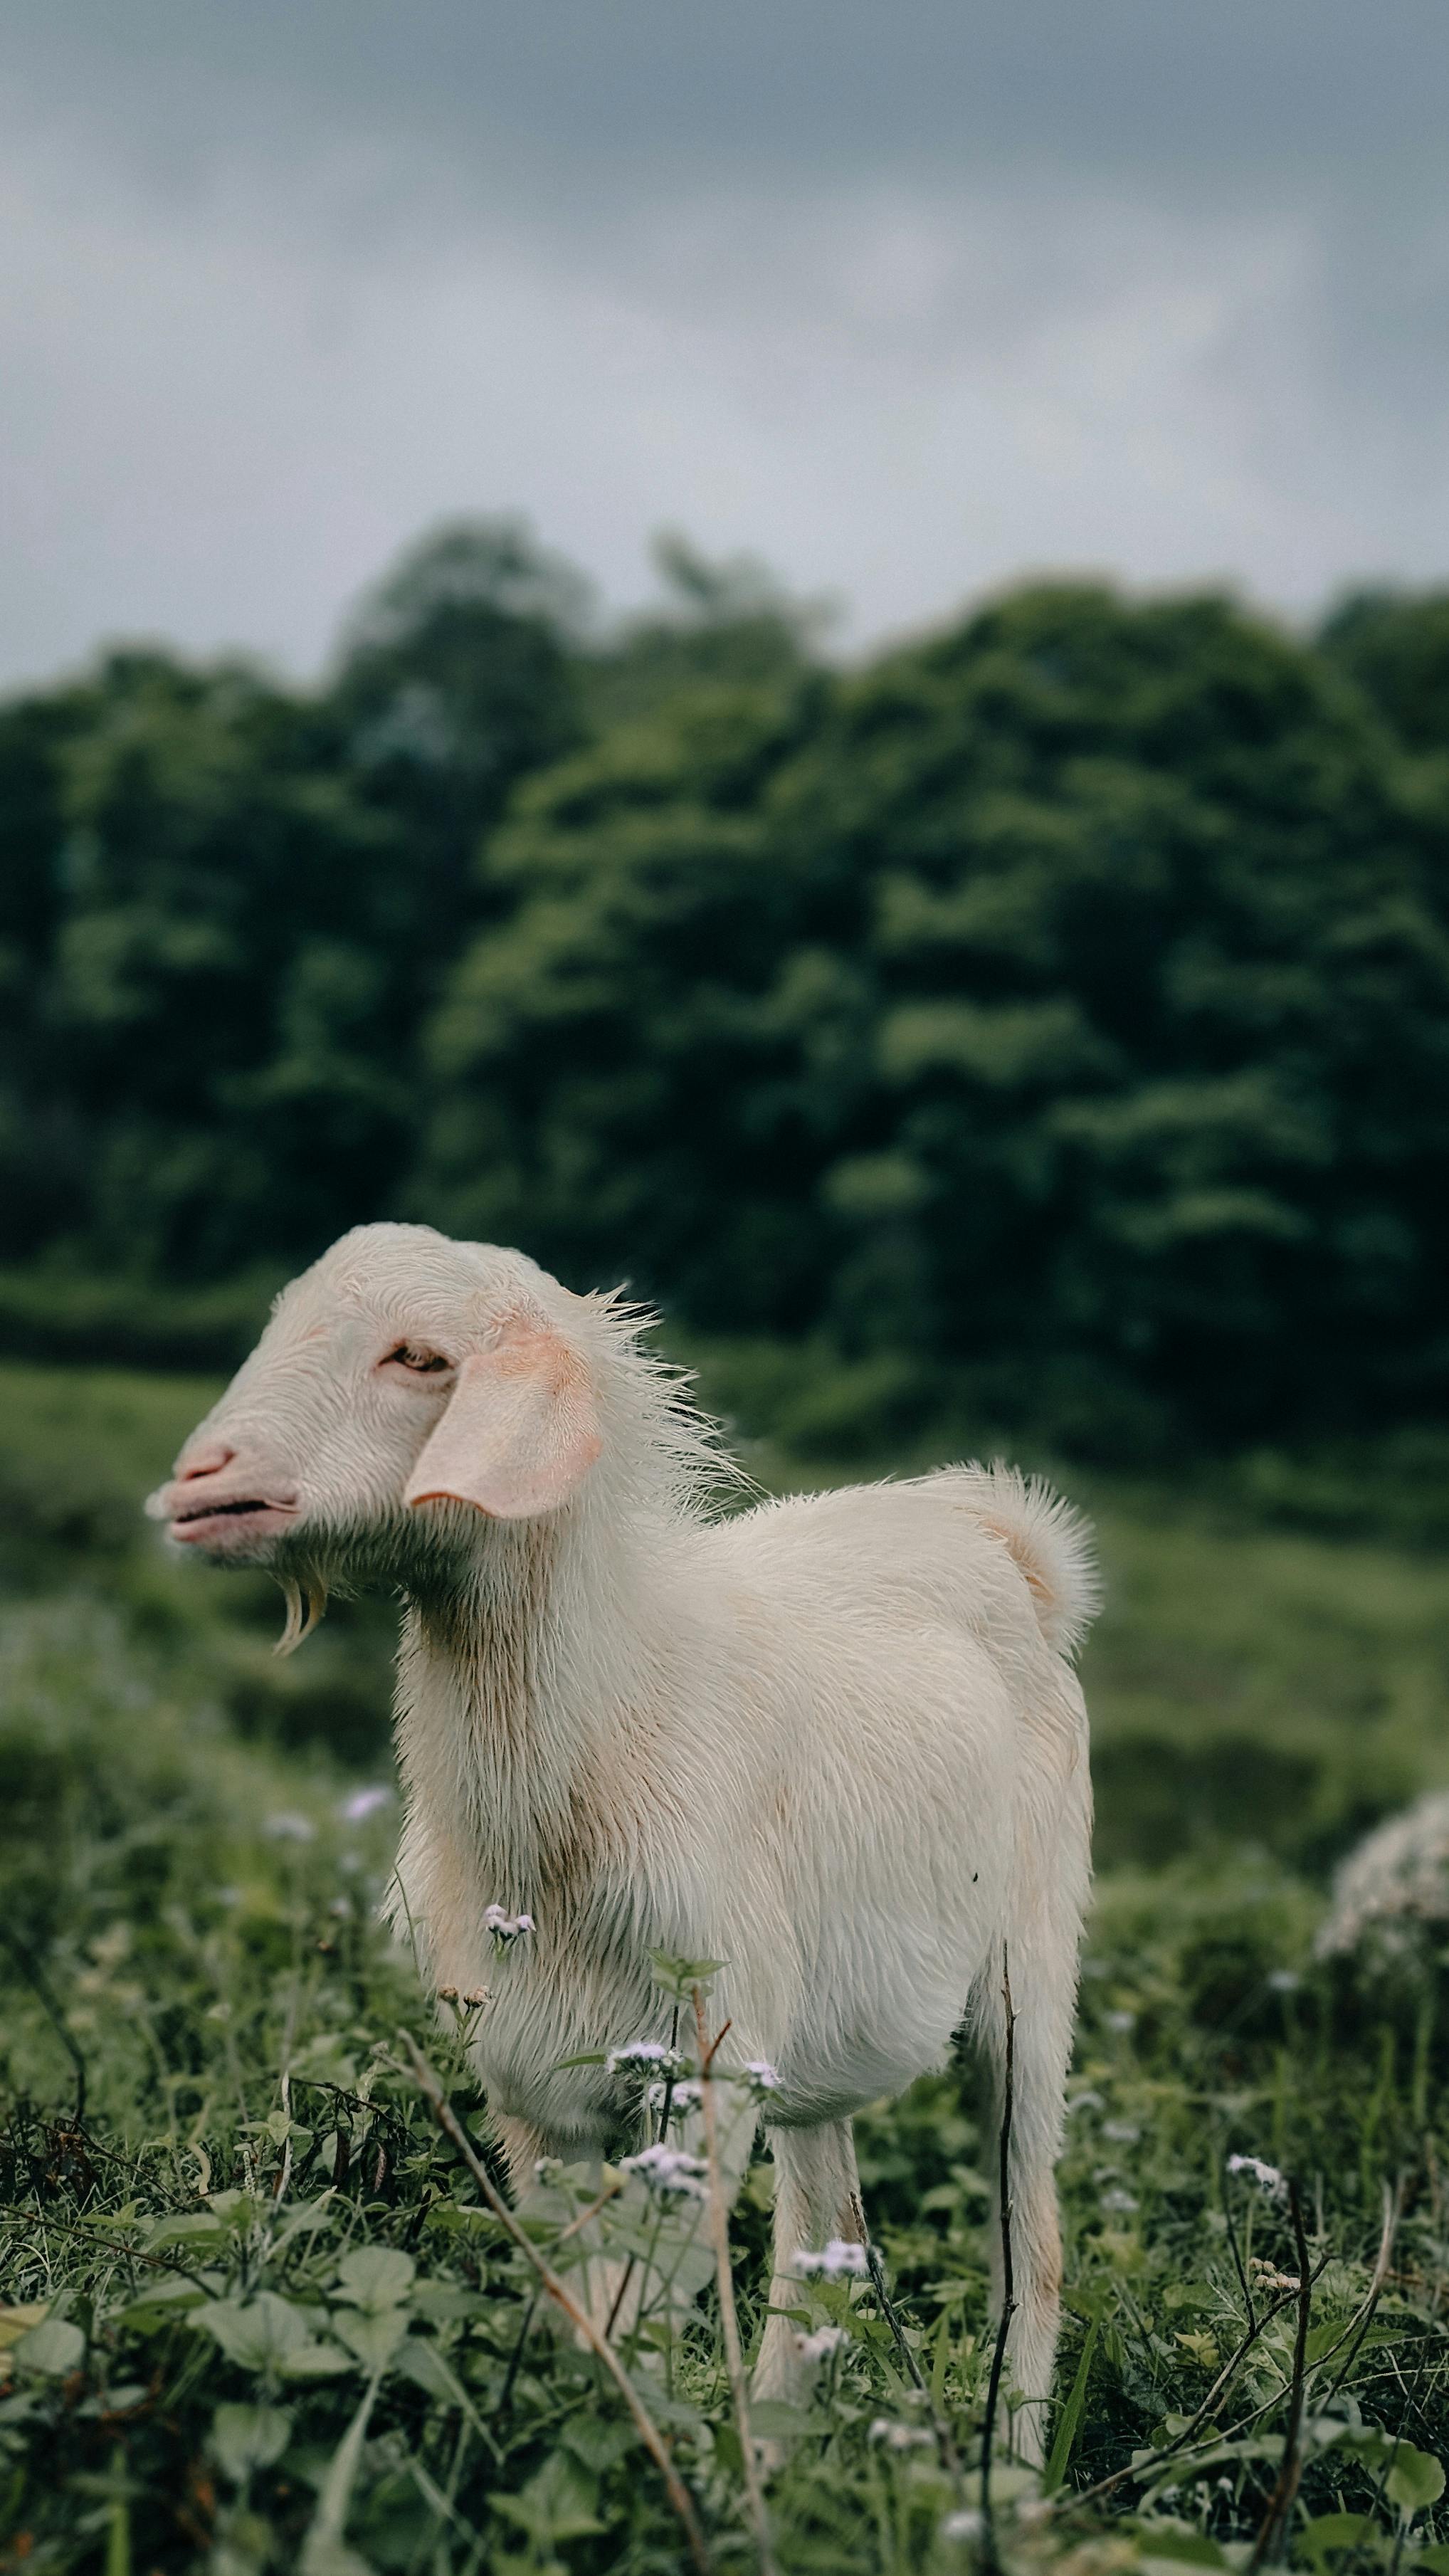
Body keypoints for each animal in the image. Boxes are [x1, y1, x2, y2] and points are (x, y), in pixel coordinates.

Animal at [147, 1222, 1096, 2452]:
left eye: (419, 1356)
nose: (199, 1482)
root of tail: (1007, 1543)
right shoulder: (528, 2079)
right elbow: (586, 2308)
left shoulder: (702, 2073)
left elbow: (642, 2306)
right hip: (803, 2037)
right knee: (822, 2231)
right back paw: (776, 2446)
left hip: (1030, 1970)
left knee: (1030, 2241)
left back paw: (1011, 2471)